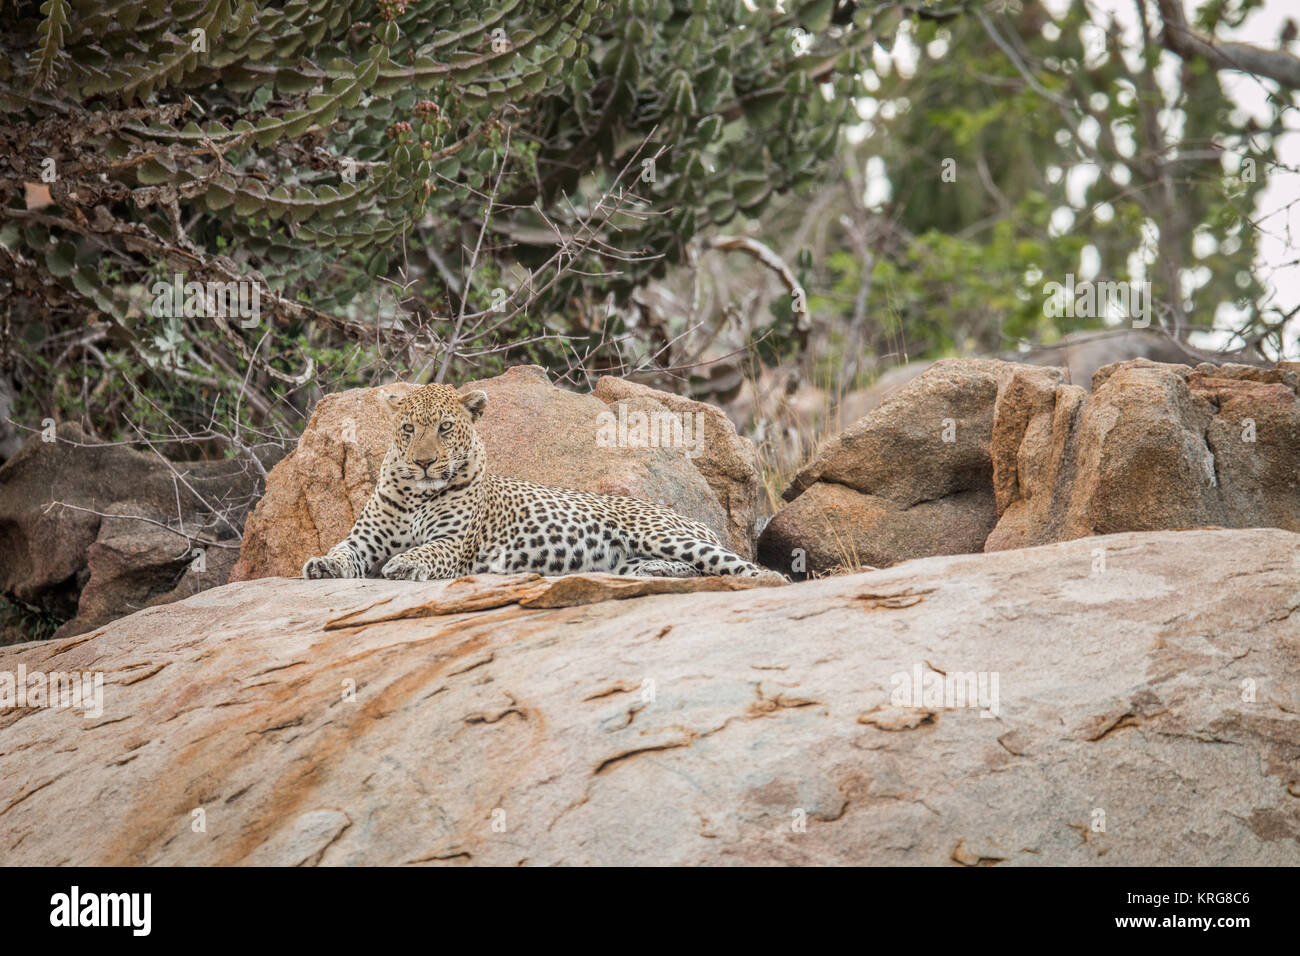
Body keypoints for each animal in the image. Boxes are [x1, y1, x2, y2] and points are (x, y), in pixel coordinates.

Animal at [302, 383, 779, 583]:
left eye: (444, 427)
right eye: (407, 429)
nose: (423, 462)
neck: (418, 495)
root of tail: (696, 521)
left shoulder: (454, 544)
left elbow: (427, 550)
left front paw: (405, 564)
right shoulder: (365, 539)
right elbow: (343, 551)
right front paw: (322, 563)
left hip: (662, 533)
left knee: (741, 566)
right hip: (630, 556)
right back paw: (653, 570)